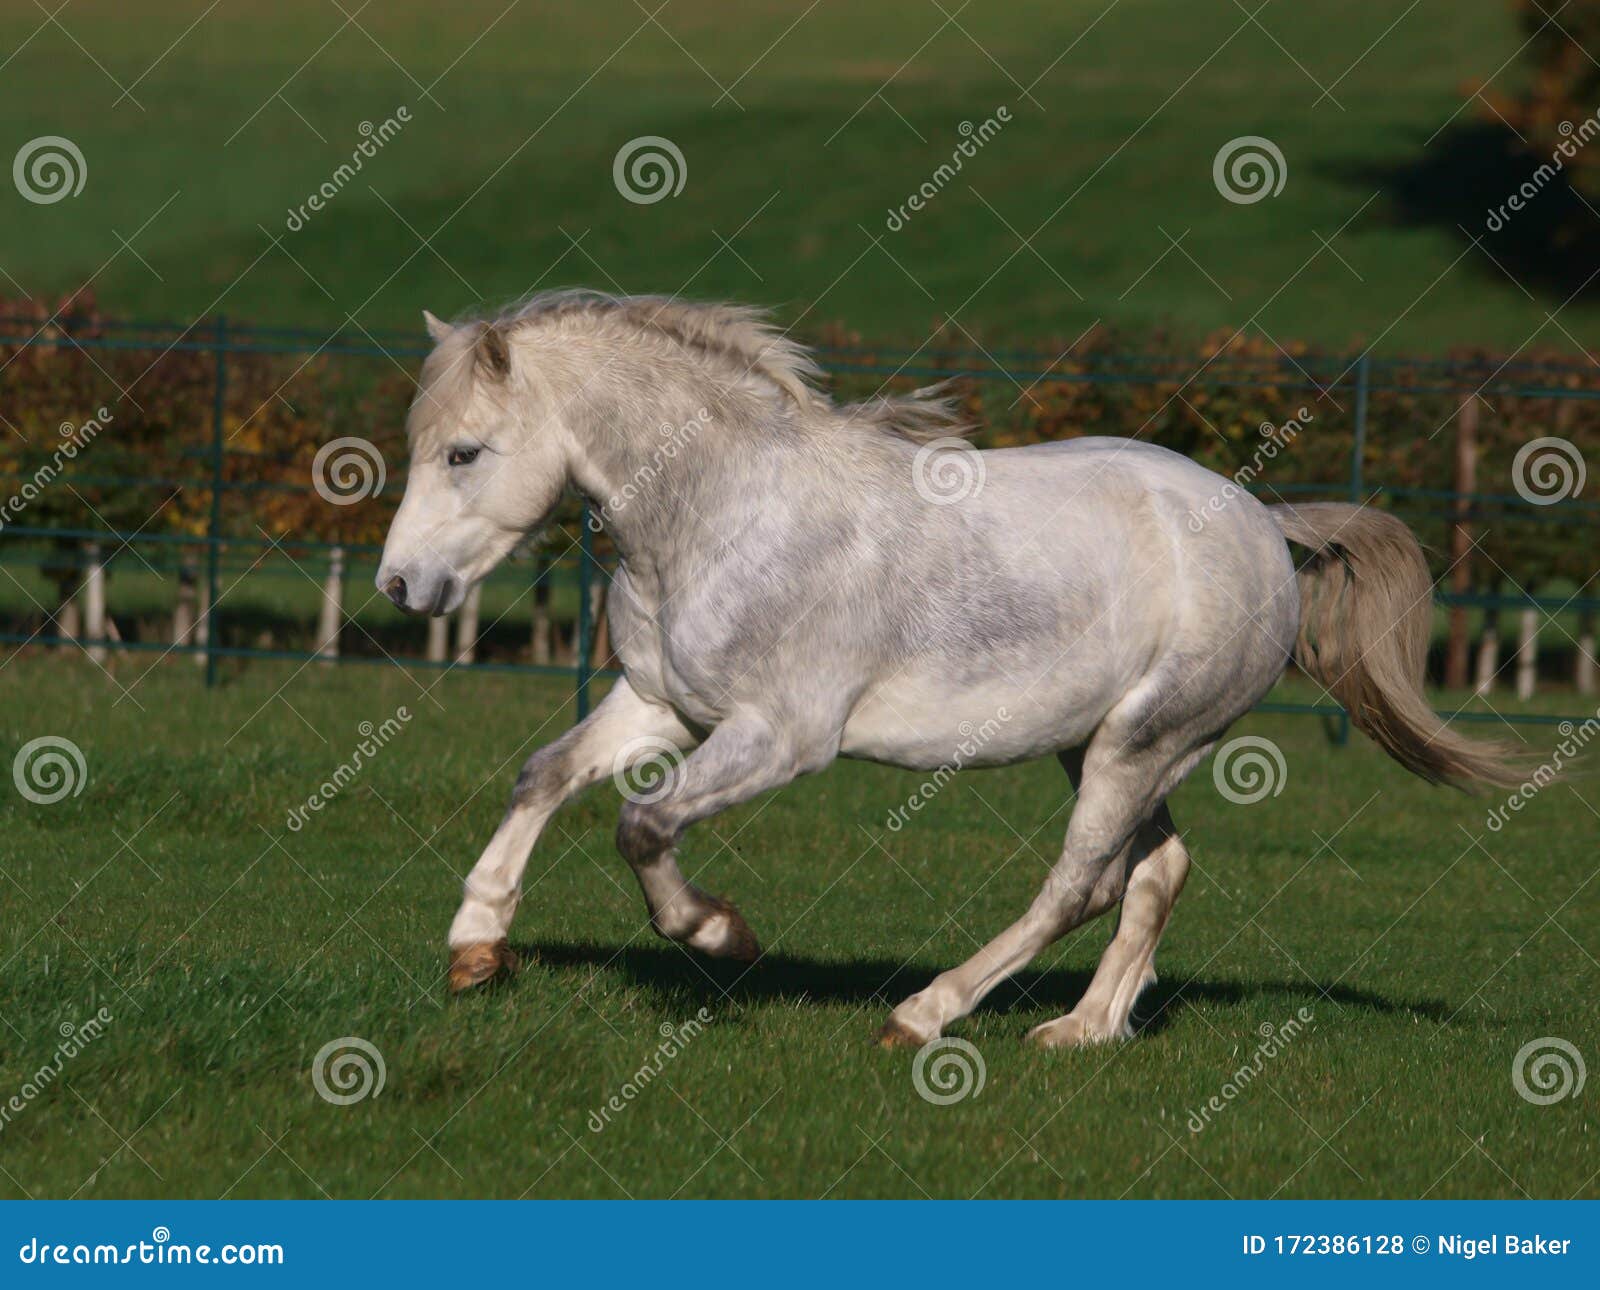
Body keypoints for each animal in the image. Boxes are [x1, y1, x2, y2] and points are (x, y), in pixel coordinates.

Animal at [374, 291, 1518, 1048]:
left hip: (1142, 743)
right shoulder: (664, 707)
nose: (400, 584)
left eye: (464, 453)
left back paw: (924, 1015)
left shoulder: (781, 739)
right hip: (1104, 746)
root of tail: (1264, 526)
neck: (722, 511)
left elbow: (642, 826)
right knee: (1154, 873)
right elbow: (545, 776)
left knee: (1079, 884)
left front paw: (721, 934)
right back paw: (1082, 1030)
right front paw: (476, 946)